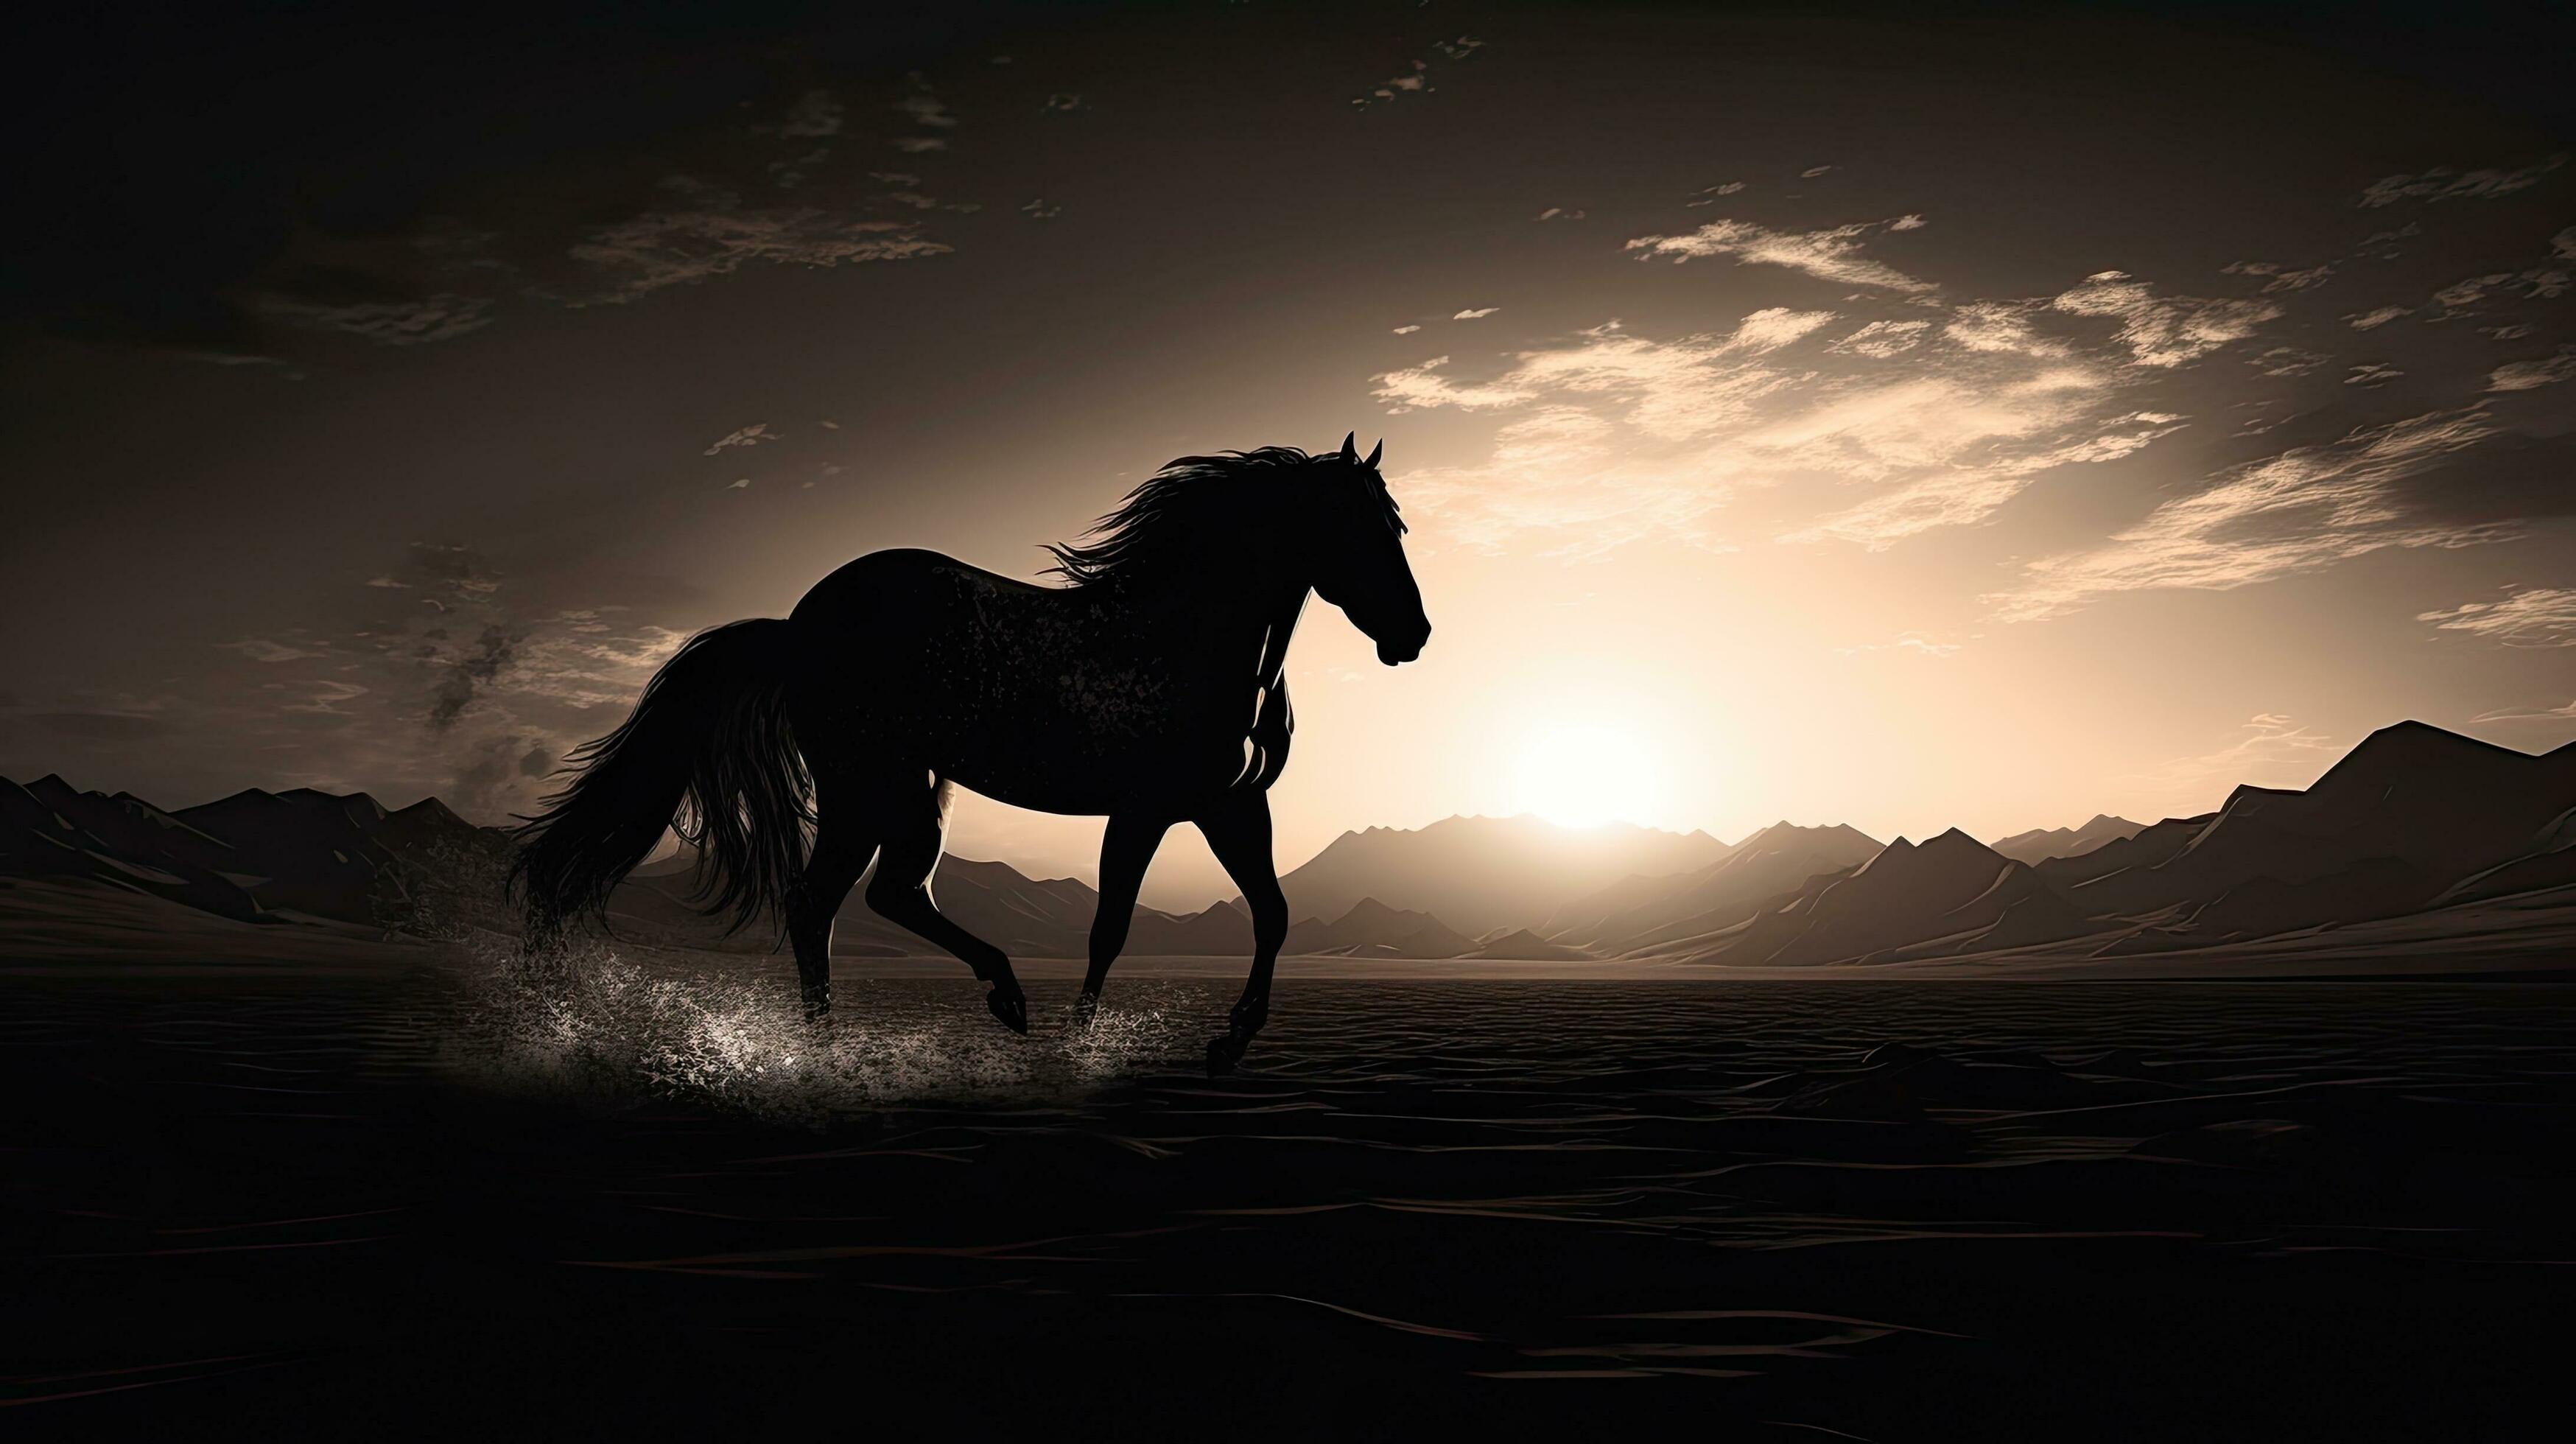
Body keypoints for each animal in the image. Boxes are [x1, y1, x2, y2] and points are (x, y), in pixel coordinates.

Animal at [509, 434, 1430, 1074]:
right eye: (1355, 525)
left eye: (1396, 524)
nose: (1412, 636)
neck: (1185, 639)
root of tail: (797, 627)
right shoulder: (1144, 809)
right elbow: (1110, 927)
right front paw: (1075, 1049)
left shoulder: (1230, 803)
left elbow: (1272, 913)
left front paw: (1230, 1042)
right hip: (869, 783)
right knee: (832, 900)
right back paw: (878, 1039)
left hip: (906, 791)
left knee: (869, 896)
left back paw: (932, 1019)